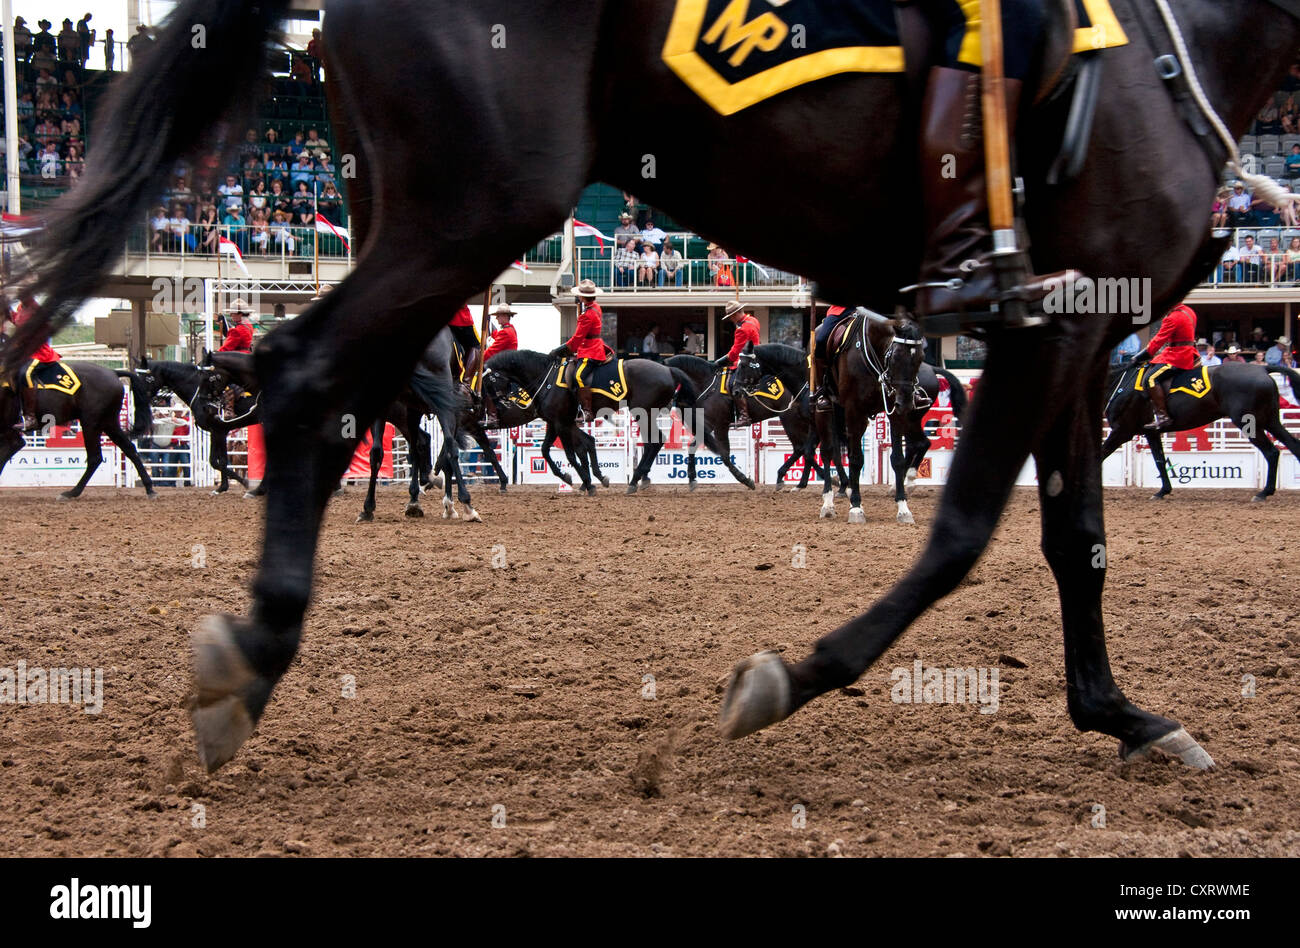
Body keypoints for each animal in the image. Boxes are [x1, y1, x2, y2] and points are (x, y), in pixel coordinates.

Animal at [0, 352, 156, 499]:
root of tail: (113, 373)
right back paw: (149, 488)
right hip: (108, 422)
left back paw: (72, 492)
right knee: (129, 449)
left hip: (91, 423)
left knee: (95, 458)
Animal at [1103, 359, 1300, 501]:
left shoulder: (1122, 431)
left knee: (1271, 452)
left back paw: (1263, 493)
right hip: (1270, 421)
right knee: (1291, 446)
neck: (1121, 385)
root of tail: (1262, 369)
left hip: (1250, 424)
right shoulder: (1151, 433)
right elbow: (1160, 460)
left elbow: (1102, 454)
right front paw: (1163, 491)